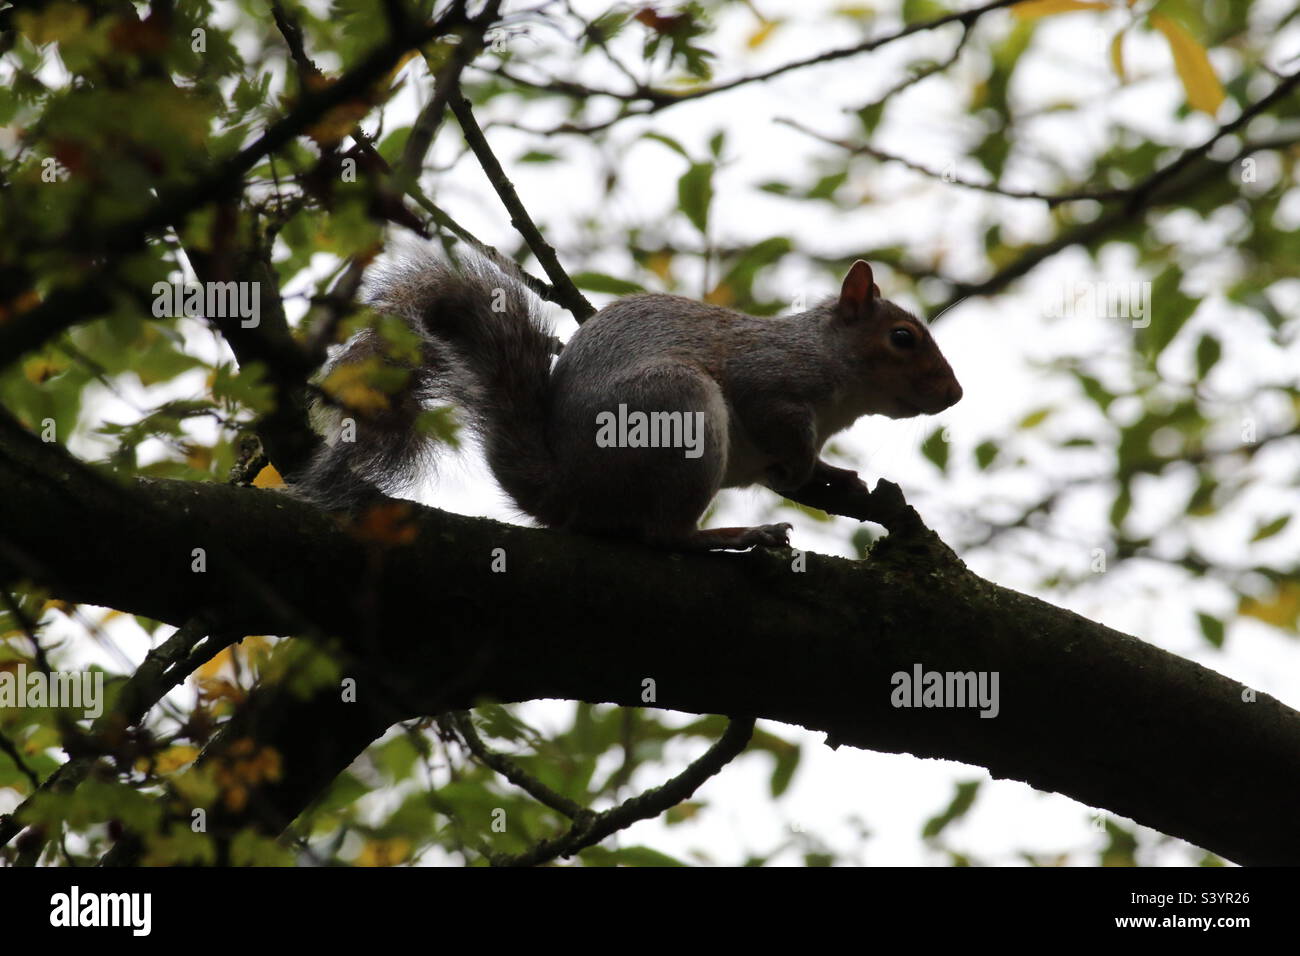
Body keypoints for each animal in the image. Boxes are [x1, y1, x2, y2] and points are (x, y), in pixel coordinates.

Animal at [291, 249, 962, 551]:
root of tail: (569, 491)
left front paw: (836, 474)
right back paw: (735, 535)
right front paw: (802, 471)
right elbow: (776, 426)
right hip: (679, 410)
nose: (955, 394)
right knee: (664, 535)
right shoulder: (770, 381)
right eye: (902, 338)